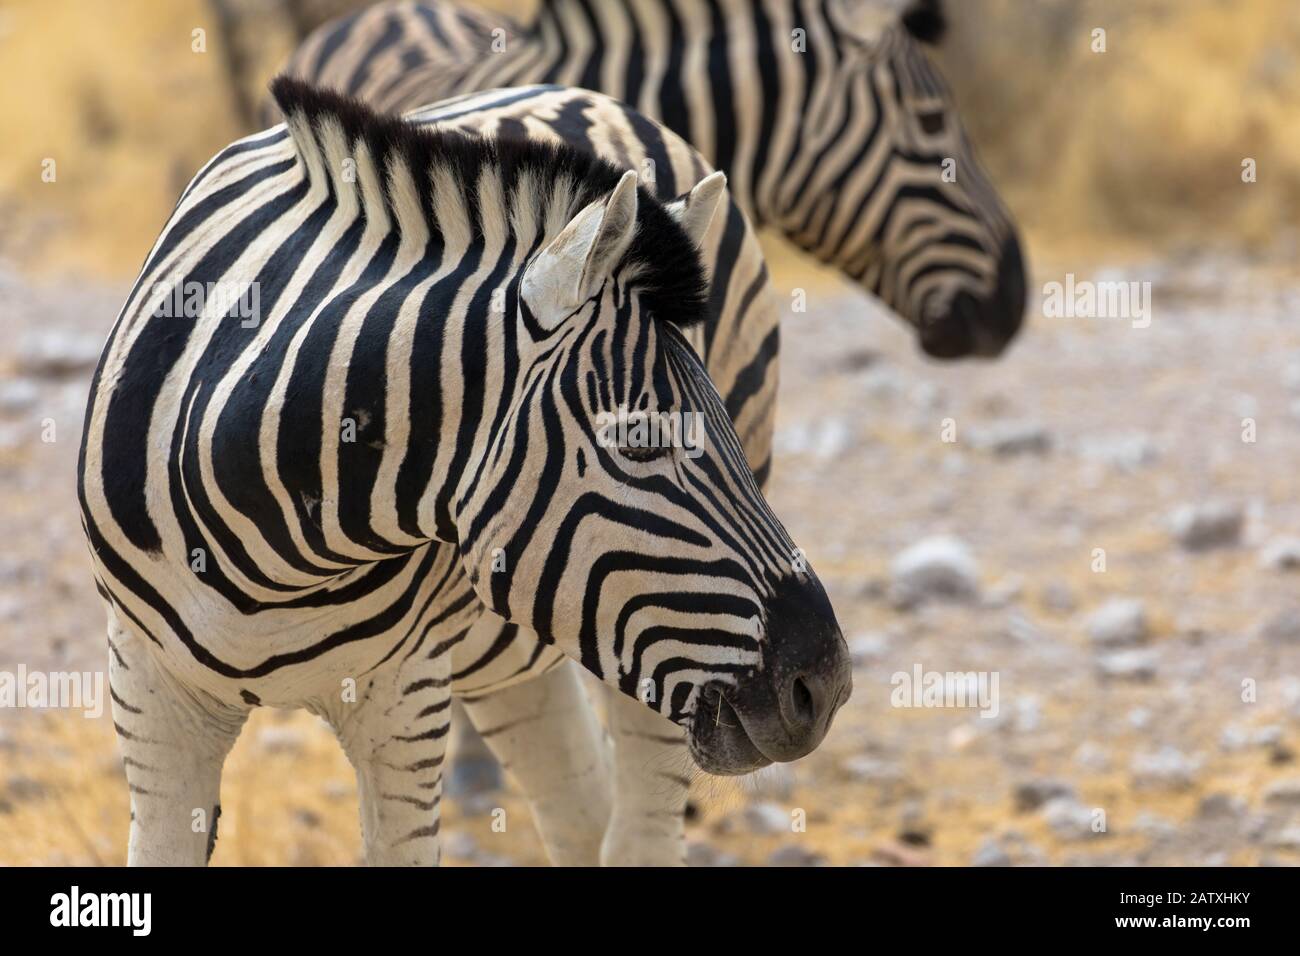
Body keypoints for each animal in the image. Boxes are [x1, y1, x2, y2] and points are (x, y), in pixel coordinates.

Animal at [77, 76, 851, 866]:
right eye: (639, 442)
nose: (826, 684)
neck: (272, 560)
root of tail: (593, 98)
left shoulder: (405, 701)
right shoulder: (149, 692)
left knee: (640, 833)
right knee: (579, 811)